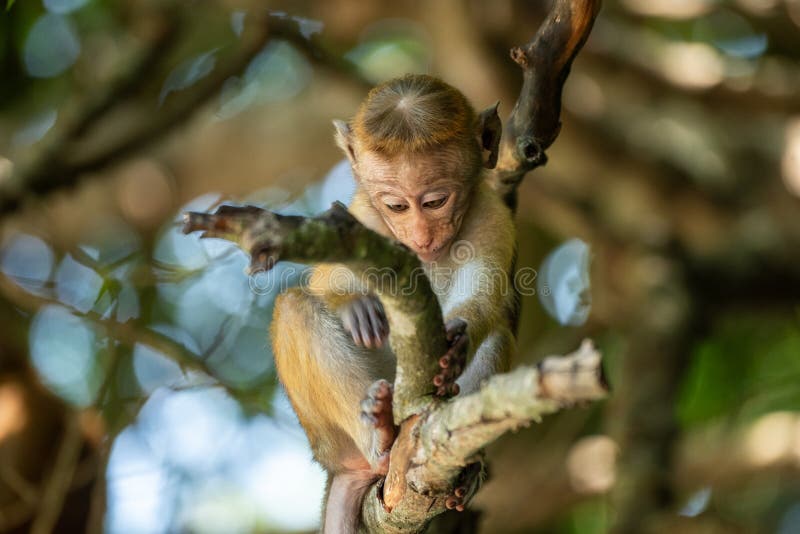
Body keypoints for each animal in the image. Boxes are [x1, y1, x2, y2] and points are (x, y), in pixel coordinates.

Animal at [270, 74, 517, 532]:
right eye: (396, 205)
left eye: (435, 201)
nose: (420, 235)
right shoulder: (362, 213)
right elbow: (324, 278)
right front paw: (353, 304)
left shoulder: (492, 216)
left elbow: (485, 297)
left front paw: (458, 337)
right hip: (330, 440)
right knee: (294, 308)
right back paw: (381, 437)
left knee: (498, 336)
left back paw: (461, 466)